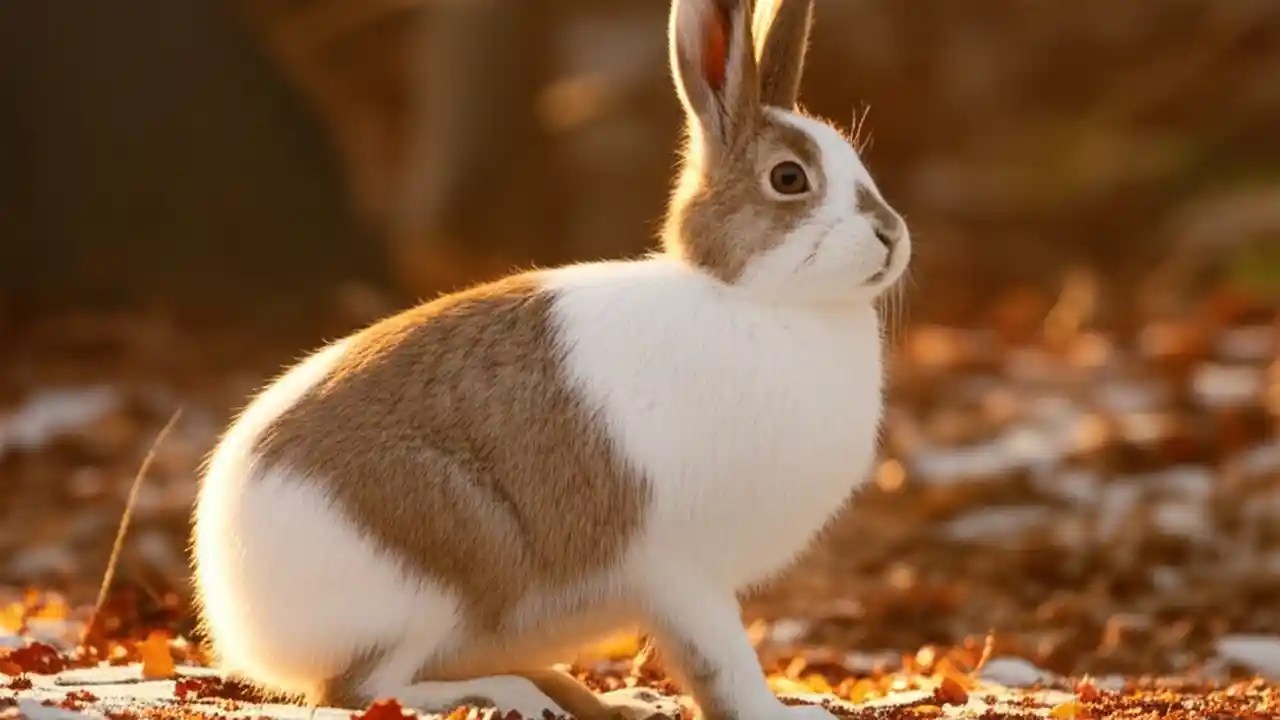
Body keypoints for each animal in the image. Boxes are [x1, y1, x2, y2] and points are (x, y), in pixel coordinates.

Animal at [191, 0, 911, 717]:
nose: (892, 236)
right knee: (363, 687)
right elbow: (724, 664)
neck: (752, 298)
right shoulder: (685, 573)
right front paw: (783, 711)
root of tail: (235, 614)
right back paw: (514, 694)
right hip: (446, 570)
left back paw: (604, 699)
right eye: (790, 179)